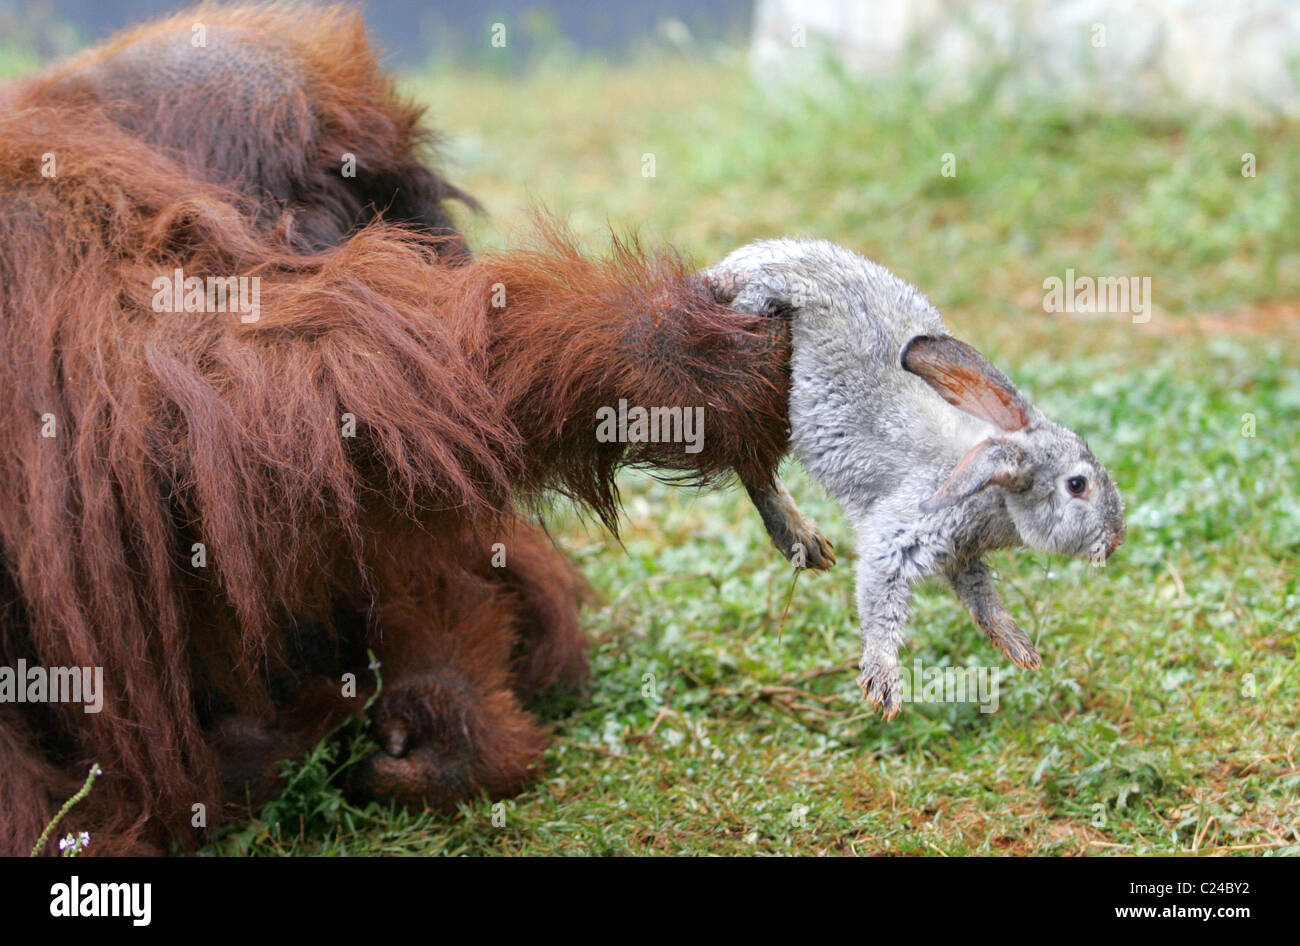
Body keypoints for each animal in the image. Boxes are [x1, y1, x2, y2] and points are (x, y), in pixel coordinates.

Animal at [704, 239, 1126, 719]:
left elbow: (982, 598)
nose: (1116, 539)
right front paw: (883, 687)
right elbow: (880, 606)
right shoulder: (898, 539)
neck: (987, 486)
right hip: (765, 317)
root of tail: (746, 257)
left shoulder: (962, 555)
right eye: (1078, 485)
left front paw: (1019, 648)